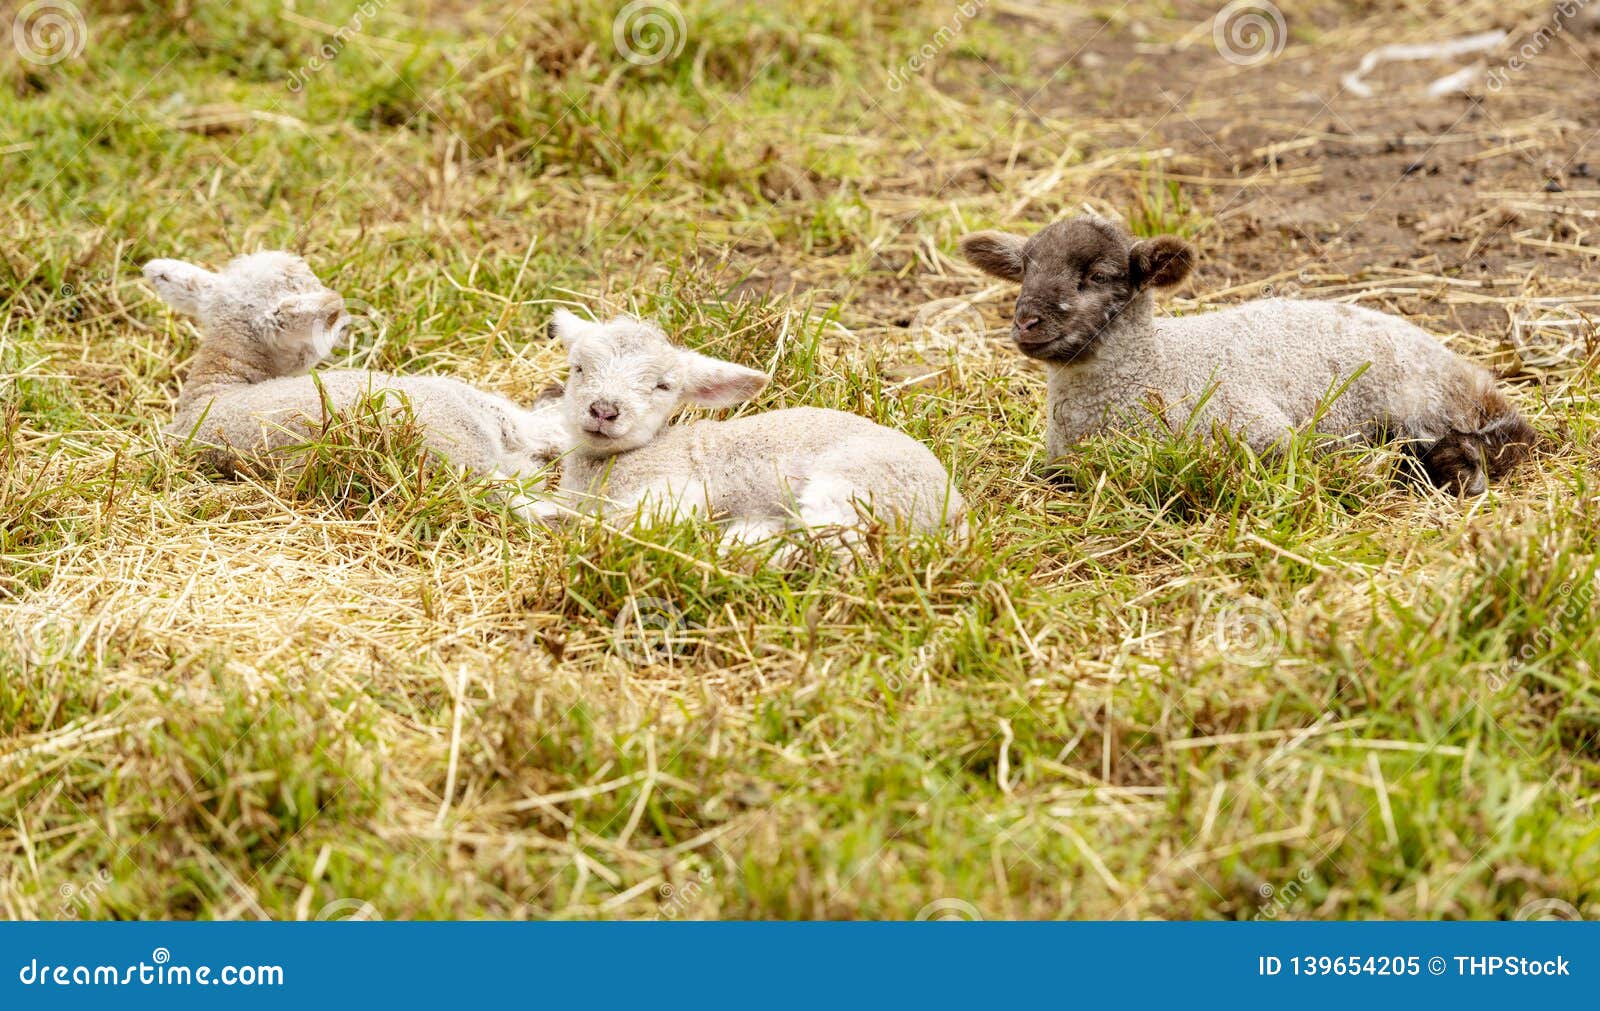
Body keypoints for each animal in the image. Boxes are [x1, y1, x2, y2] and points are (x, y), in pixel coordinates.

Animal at [539, 310, 965, 545]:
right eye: (578, 368)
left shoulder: (674, 489)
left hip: (857, 486)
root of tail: (954, 507)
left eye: (664, 386)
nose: (603, 411)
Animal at [958, 214, 1535, 494]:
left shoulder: (1259, 430)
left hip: (1422, 397)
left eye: (1097, 277)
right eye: (1025, 270)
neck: (1157, 367)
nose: (1026, 322)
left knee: (1510, 438)